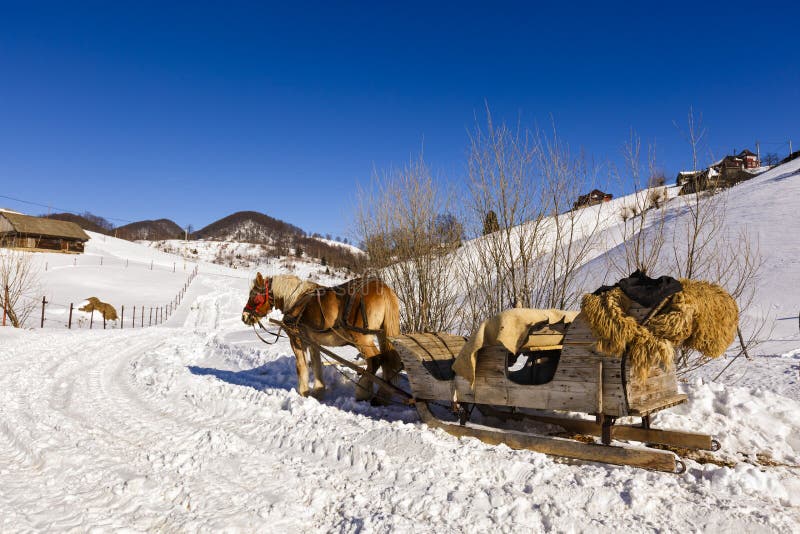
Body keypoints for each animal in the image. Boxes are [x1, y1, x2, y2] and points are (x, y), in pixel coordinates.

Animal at [241, 273, 403, 402]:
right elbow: (316, 364)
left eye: (254, 296)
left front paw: (303, 392)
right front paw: (318, 390)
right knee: (387, 360)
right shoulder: (313, 342)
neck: (295, 300)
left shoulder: (297, 340)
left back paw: (363, 392)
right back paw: (382, 395)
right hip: (381, 334)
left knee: (376, 360)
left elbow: (301, 366)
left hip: (362, 338)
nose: (244, 316)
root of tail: (384, 289)